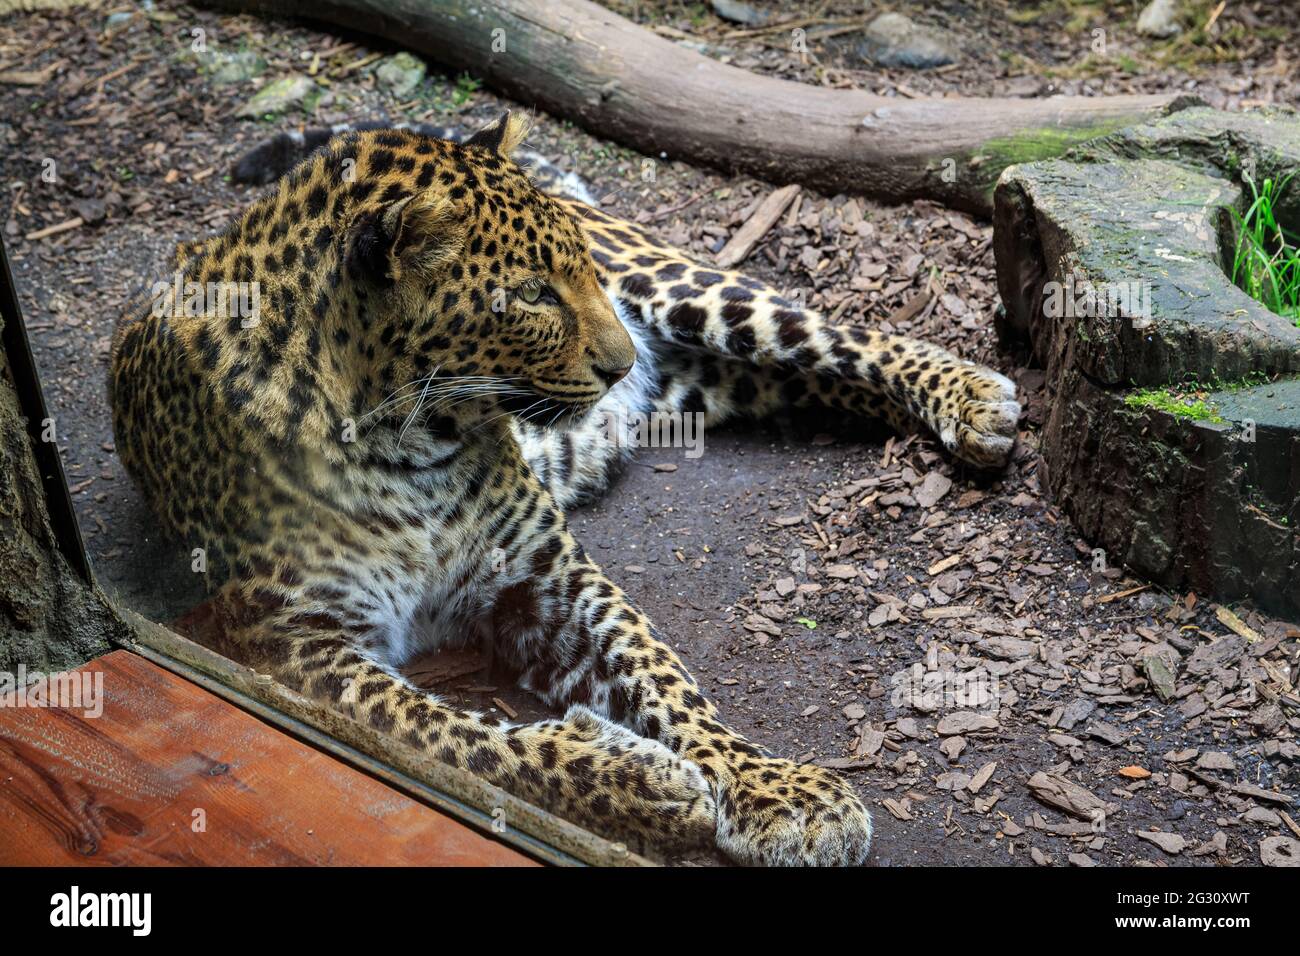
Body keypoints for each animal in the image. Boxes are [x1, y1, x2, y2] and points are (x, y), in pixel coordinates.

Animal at [109, 112, 1020, 866]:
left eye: (573, 273)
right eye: (531, 295)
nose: (619, 359)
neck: (406, 443)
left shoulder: (548, 575)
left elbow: (664, 679)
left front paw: (769, 788)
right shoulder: (295, 646)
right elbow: (452, 736)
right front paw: (635, 780)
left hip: (693, 295)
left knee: (836, 332)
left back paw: (972, 397)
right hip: (716, 383)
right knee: (811, 381)